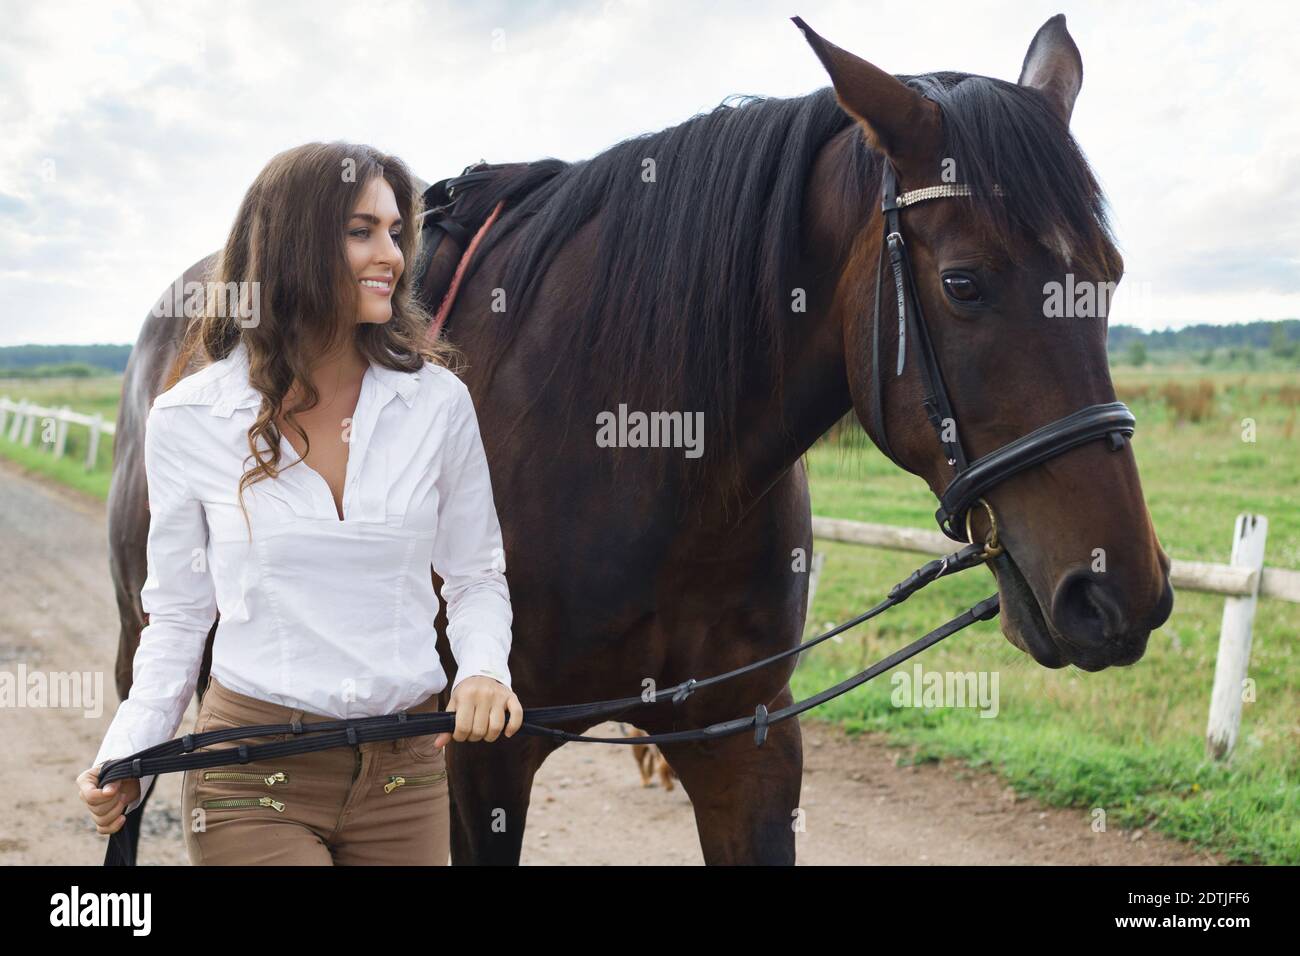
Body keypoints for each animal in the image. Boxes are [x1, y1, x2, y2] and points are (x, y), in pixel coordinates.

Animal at [107, 14, 1172, 865]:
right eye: (962, 283)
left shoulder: (743, 739)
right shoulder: (479, 761)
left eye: (1108, 277)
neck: (648, 459)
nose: (1117, 590)